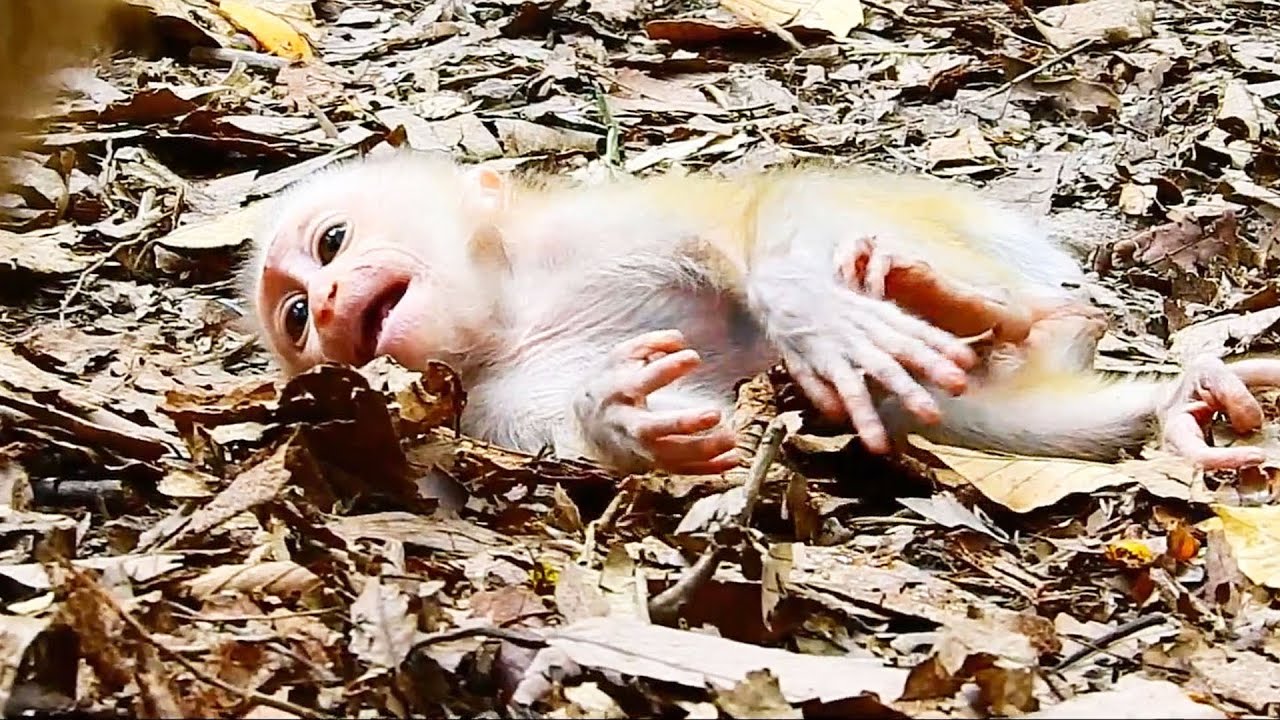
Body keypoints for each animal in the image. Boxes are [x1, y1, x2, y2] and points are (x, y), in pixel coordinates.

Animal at [244, 150, 1280, 475]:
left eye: (331, 242)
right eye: (294, 319)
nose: (327, 303)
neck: (515, 308)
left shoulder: (591, 226)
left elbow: (752, 220)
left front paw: (805, 303)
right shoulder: (485, 396)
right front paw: (622, 419)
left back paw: (946, 298)